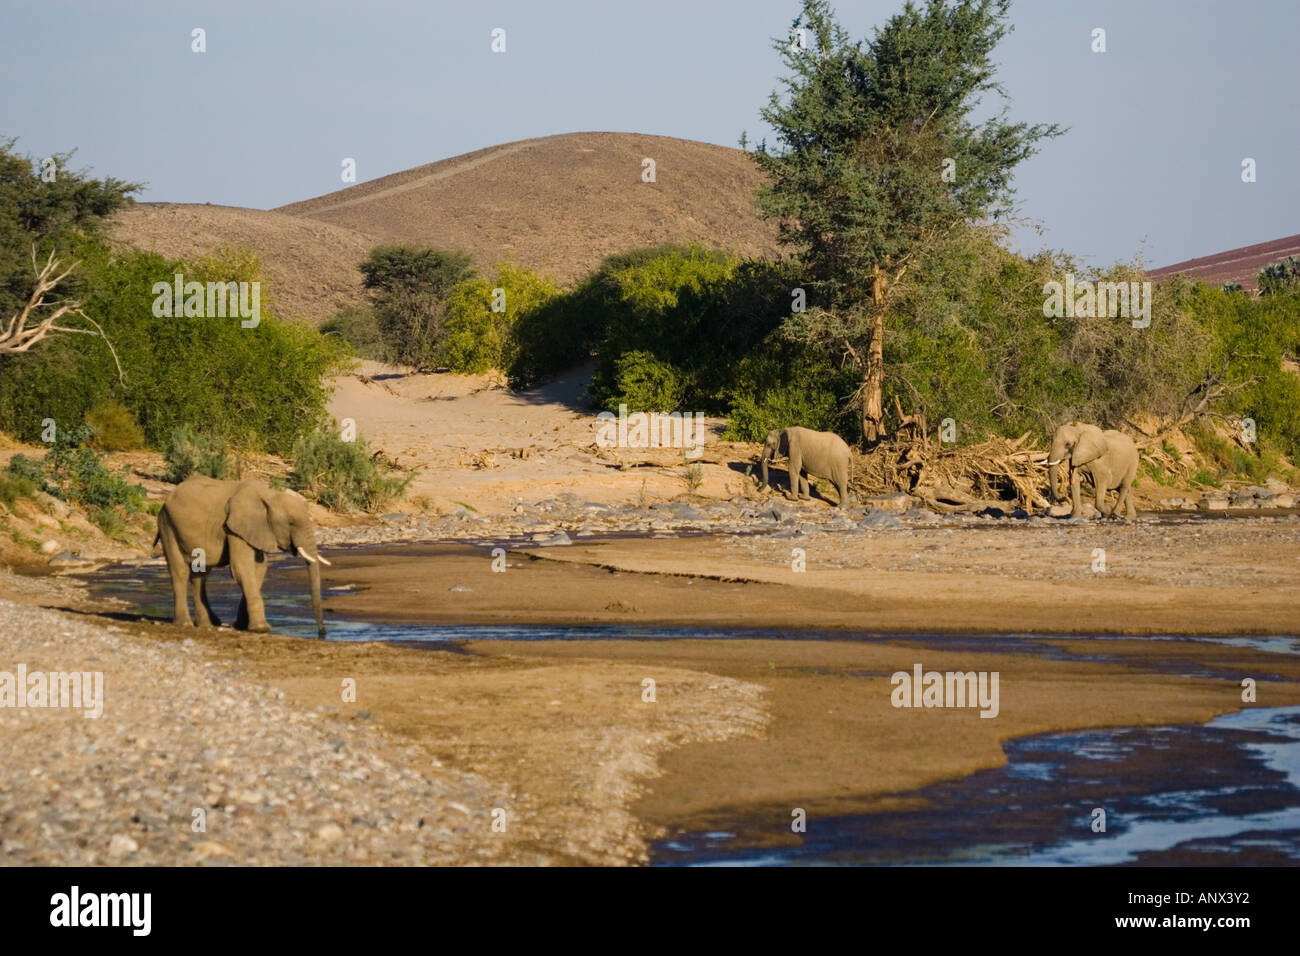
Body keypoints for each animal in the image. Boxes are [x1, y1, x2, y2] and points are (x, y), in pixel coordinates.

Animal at [155, 476, 330, 638]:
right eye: (291, 522)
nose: (322, 632)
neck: (269, 495)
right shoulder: (234, 528)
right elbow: (241, 568)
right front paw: (261, 629)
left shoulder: (258, 529)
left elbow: (258, 570)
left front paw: (241, 626)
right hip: (167, 523)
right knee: (179, 571)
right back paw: (185, 624)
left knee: (201, 574)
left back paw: (208, 624)